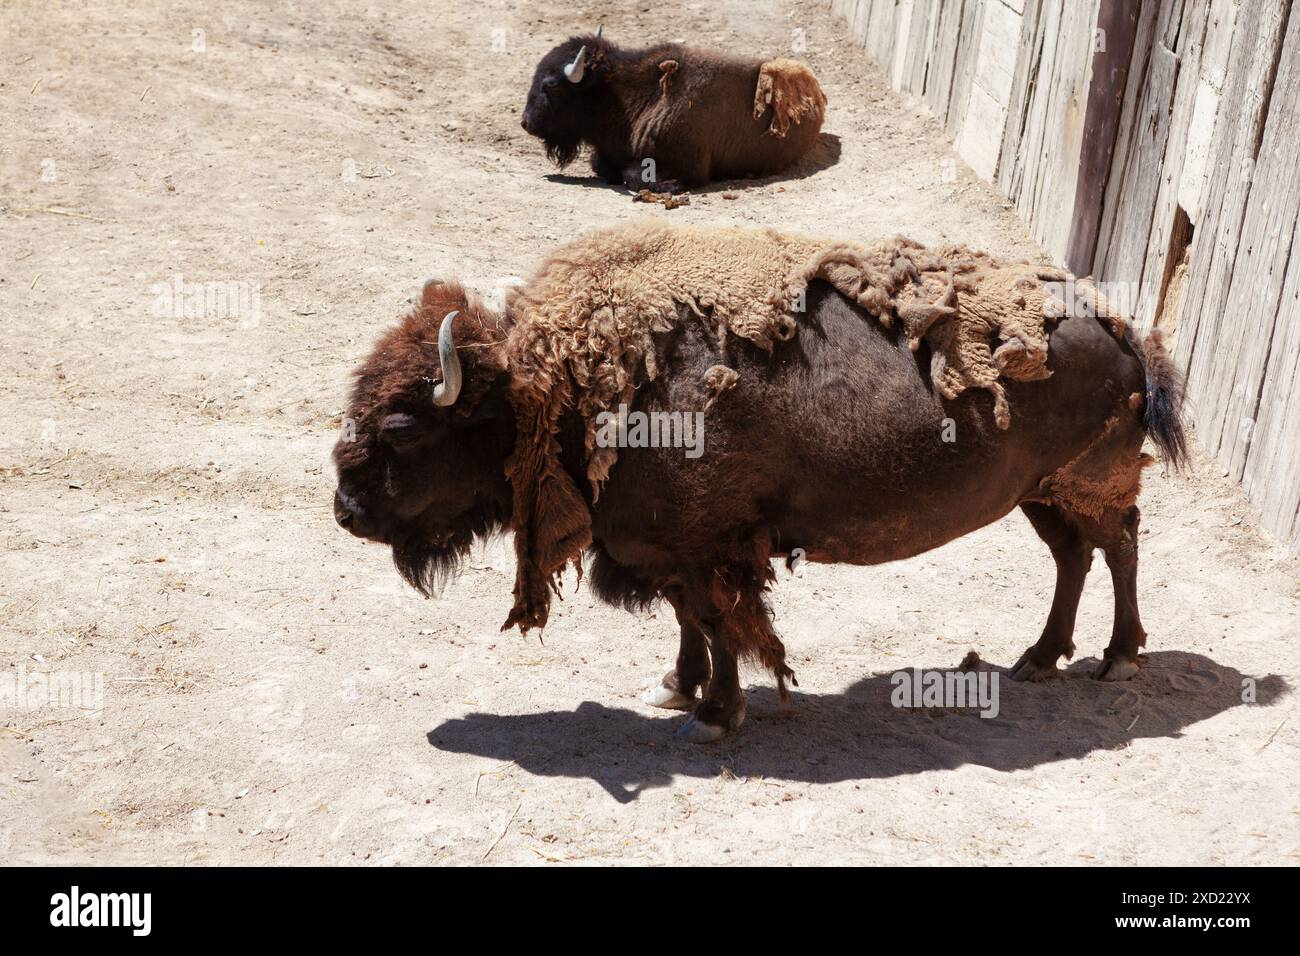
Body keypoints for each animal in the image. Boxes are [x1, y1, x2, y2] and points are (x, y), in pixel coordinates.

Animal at [332, 225, 1186, 743]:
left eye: (401, 429)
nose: (345, 510)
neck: (550, 386)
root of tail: (1122, 330)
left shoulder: (704, 551)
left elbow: (716, 624)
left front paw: (717, 712)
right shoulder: (671, 554)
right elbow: (690, 623)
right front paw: (676, 687)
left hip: (1089, 486)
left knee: (1121, 546)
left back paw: (1115, 658)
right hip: (1038, 495)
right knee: (1074, 557)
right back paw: (1039, 658)